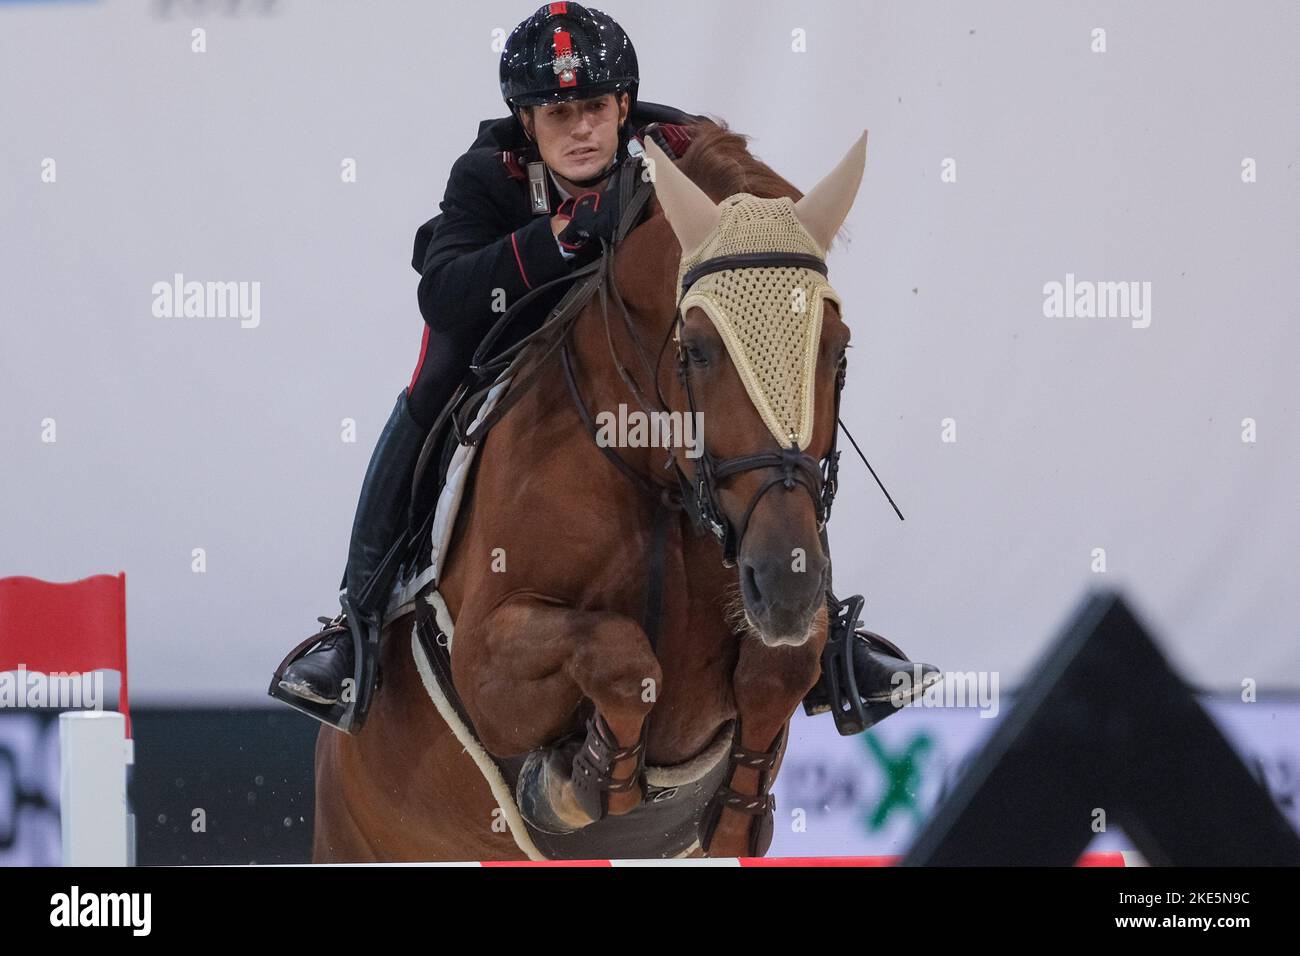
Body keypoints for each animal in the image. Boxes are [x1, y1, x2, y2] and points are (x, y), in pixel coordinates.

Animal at [311, 120, 867, 861]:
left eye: (838, 348)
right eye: (696, 350)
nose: (785, 584)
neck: (656, 480)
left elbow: (781, 667)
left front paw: (737, 810)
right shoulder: (485, 664)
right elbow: (621, 654)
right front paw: (586, 777)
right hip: (351, 836)